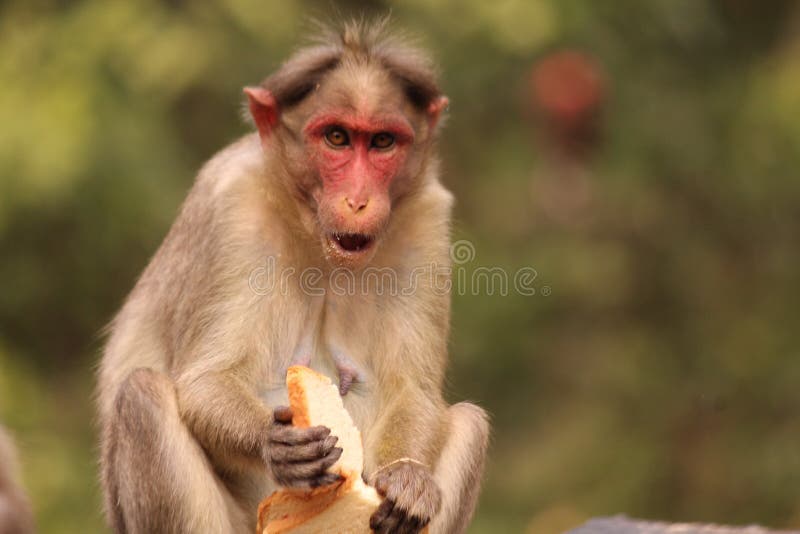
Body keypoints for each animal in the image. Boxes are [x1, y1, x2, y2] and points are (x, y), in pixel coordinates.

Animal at [98, 20, 489, 534]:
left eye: (382, 142)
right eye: (337, 138)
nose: (359, 200)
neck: (317, 239)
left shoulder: (427, 219)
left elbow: (414, 390)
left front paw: (409, 479)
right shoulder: (232, 203)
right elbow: (204, 380)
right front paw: (274, 444)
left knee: (469, 421)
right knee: (142, 395)